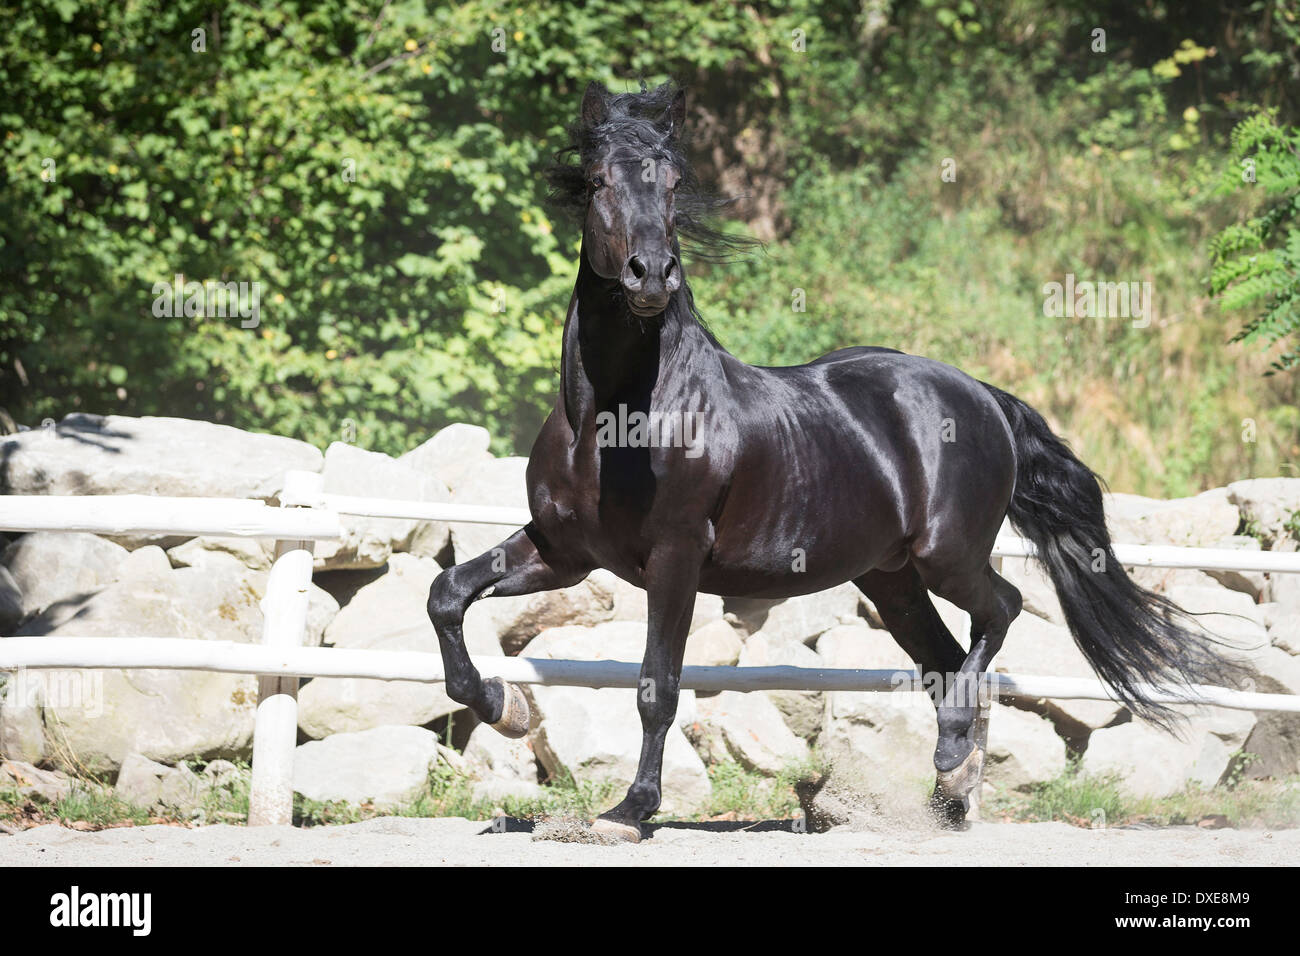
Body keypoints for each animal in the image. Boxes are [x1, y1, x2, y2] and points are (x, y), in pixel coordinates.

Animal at [426, 81, 1242, 842]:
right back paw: (951, 792)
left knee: (1002, 610)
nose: (650, 275)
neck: (615, 420)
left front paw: (630, 811)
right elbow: (447, 594)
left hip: (946, 557)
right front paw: (506, 706)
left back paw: (951, 765)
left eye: (672, 182)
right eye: (597, 180)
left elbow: (657, 684)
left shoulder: (674, 557)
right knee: (946, 659)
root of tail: (980, 394)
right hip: (890, 578)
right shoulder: (564, 552)